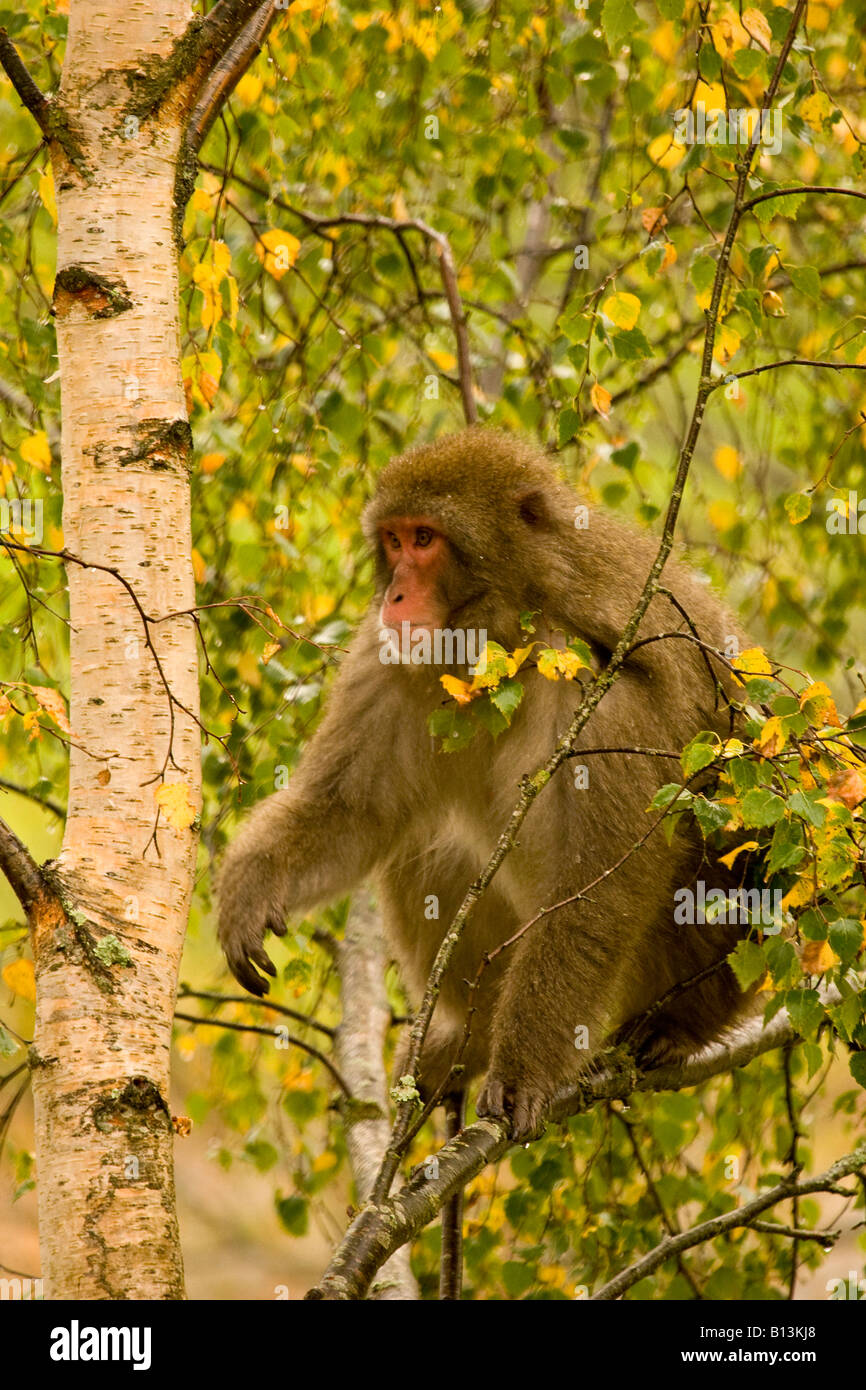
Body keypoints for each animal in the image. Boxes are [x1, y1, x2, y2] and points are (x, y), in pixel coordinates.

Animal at [217, 426, 756, 1141]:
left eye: (425, 539)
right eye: (393, 540)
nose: (394, 596)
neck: (500, 633)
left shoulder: (608, 694)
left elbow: (597, 887)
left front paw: (523, 1073)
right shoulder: (385, 656)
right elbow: (348, 812)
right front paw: (250, 889)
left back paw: (681, 1021)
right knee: (421, 845)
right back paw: (463, 1042)